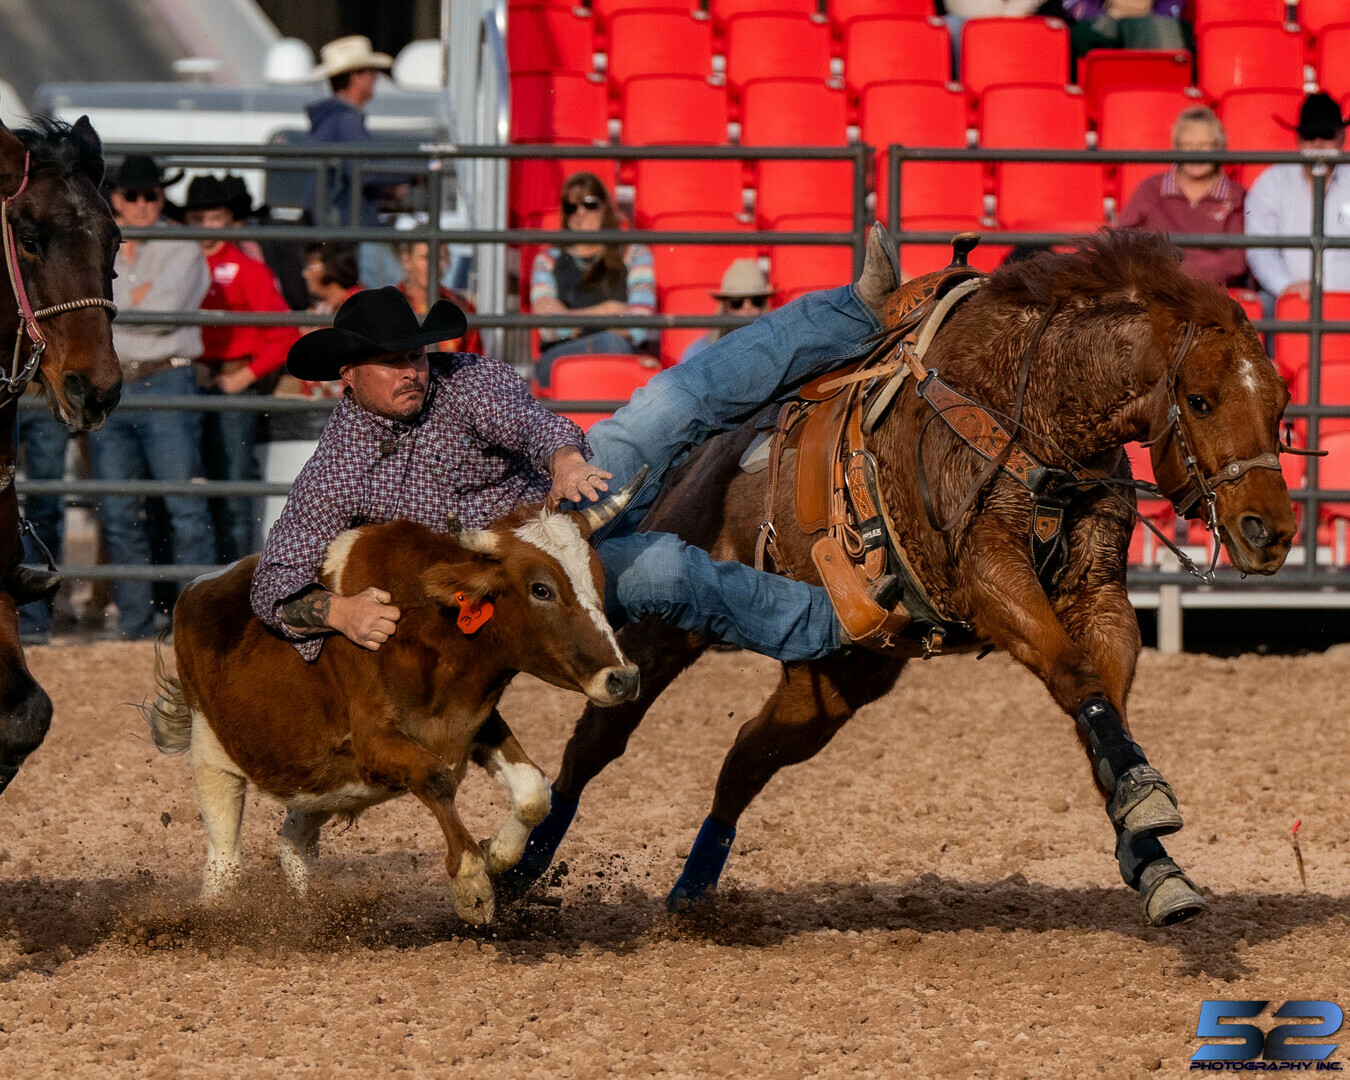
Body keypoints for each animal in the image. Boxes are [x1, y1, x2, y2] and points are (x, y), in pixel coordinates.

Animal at [511, 230, 1296, 927]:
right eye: (1200, 400)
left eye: (1281, 404)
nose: (1272, 531)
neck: (1027, 407)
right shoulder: (988, 575)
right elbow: (1074, 675)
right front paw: (1145, 802)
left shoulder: (1097, 594)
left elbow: (1102, 698)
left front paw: (1153, 860)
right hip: (663, 628)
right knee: (600, 739)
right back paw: (522, 868)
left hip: (834, 677)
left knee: (748, 758)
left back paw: (693, 893)